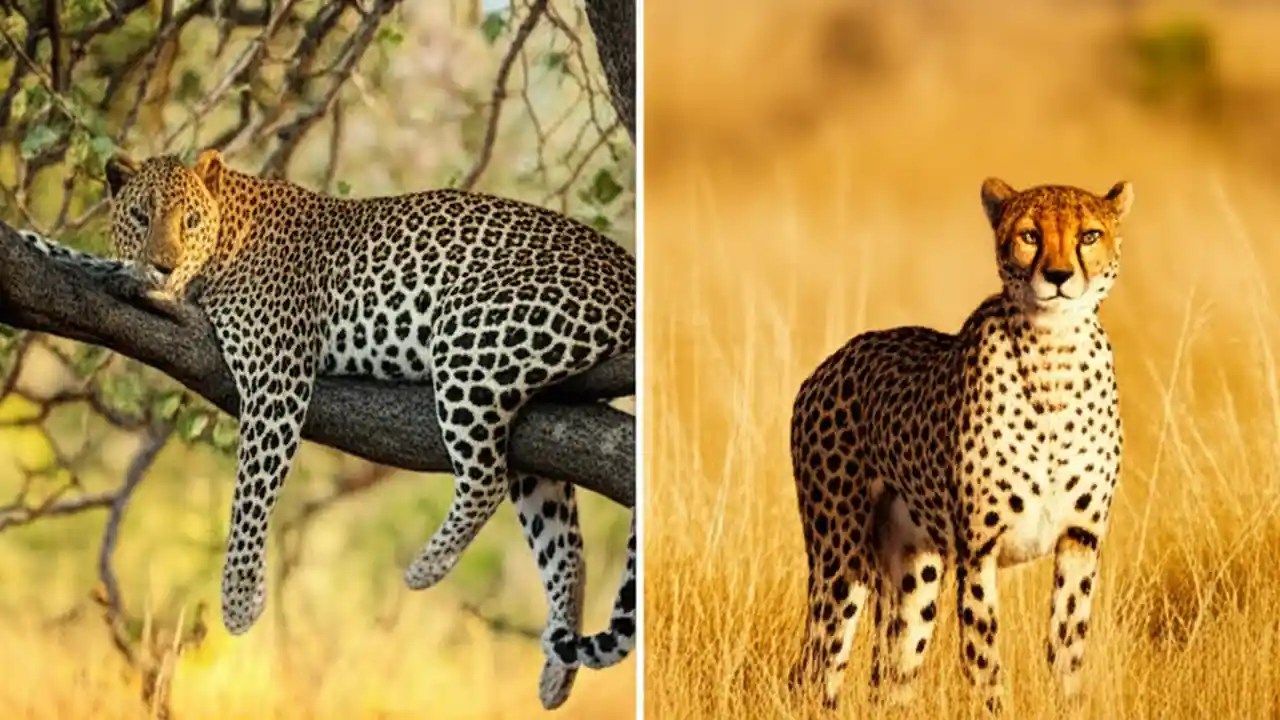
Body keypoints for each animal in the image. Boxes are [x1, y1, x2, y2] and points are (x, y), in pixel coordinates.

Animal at [14, 148, 637, 709]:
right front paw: (32, 244)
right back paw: (557, 671)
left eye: (189, 220)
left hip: (473, 338)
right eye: (141, 217)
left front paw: (238, 599)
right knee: (566, 544)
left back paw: (423, 569)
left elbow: (251, 493)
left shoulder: (277, 376)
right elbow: (81, 258)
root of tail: (629, 269)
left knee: (483, 479)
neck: (229, 229)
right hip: (534, 430)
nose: (163, 265)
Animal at [788, 178, 1132, 712]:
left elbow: (1067, 649)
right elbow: (983, 656)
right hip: (840, 561)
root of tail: (828, 363)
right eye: (1030, 235)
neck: (1054, 357)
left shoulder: (1080, 539)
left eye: (1089, 235)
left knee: (891, 676)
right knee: (819, 665)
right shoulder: (978, 551)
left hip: (916, 572)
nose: (1057, 276)